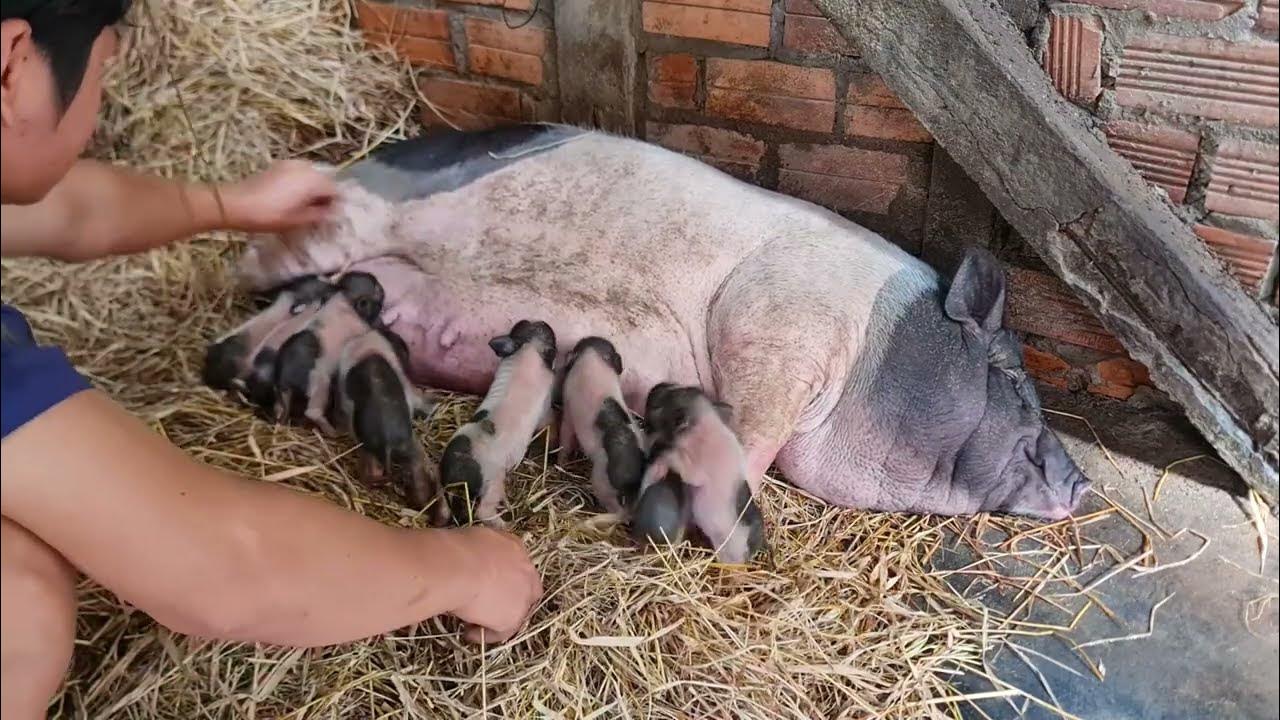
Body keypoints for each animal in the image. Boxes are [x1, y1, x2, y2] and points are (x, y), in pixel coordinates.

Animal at [273, 271, 385, 428]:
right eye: (377, 290)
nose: (383, 289)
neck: (344, 298)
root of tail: (283, 379)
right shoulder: (361, 327)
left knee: (280, 407)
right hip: (319, 382)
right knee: (312, 411)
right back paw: (331, 429)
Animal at [440, 320, 557, 526]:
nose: (543, 322)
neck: (528, 349)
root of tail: (456, 475)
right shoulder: (546, 406)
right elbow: (551, 422)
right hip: (493, 480)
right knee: (483, 511)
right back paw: (507, 525)